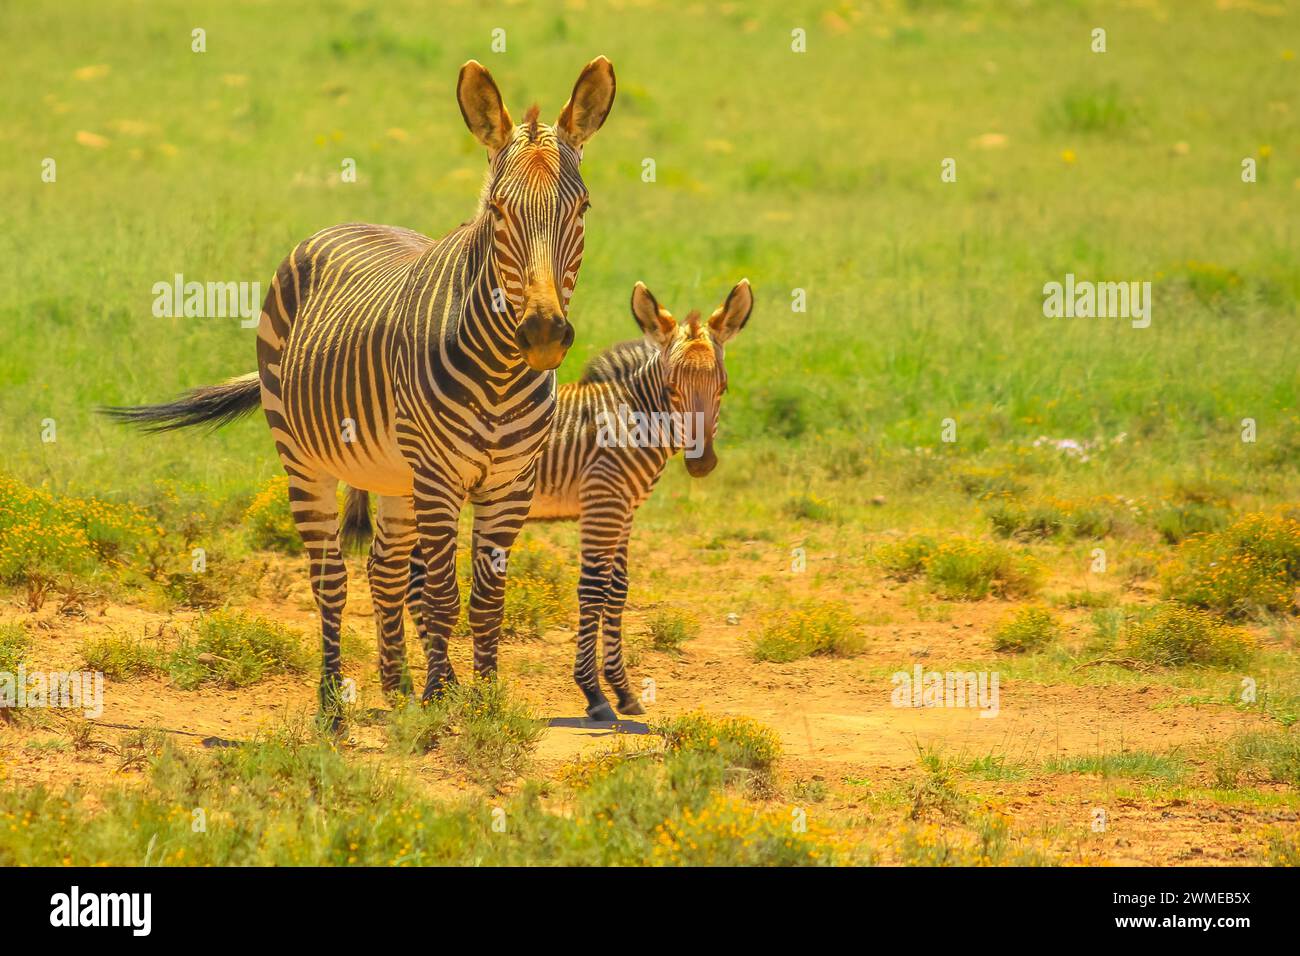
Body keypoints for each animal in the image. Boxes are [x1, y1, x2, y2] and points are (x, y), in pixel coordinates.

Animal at [103, 57, 617, 727]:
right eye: (499, 212)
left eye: (581, 208)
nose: (544, 334)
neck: (502, 371)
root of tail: (345, 221)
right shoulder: (439, 476)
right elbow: (444, 594)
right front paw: (441, 699)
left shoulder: (512, 482)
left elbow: (487, 599)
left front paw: (481, 700)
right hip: (307, 460)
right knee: (331, 578)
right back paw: (333, 702)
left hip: (393, 474)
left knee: (385, 571)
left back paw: (395, 689)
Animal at [345, 278, 753, 720]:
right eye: (673, 388)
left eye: (723, 388)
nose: (702, 463)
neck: (634, 415)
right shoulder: (603, 501)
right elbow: (593, 588)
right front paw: (594, 693)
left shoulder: (625, 508)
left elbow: (618, 589)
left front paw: (624, 690)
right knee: (403, 575)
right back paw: (431, 684)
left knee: (398, 573)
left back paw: (437, 682)